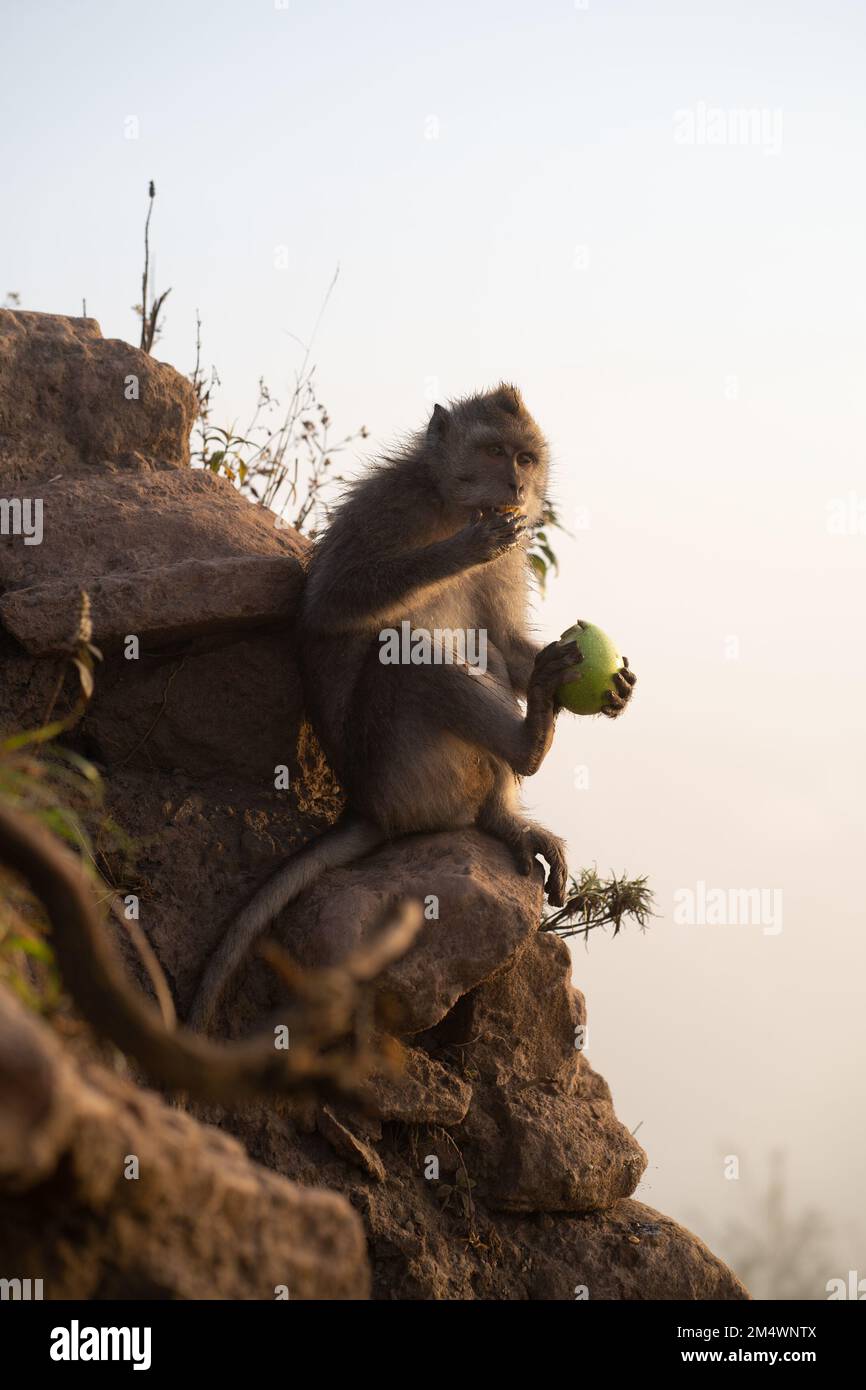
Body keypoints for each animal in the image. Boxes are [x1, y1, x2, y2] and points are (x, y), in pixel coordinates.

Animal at [189, 384, 636, 1032]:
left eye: (525, 459)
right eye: (494, 451)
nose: (516, 485)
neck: (450, 503)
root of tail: (366, 807)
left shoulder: (512, 553)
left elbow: (505, 645)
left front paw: (614, 688)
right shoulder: (389, 504)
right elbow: (334, 604)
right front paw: (460, 550)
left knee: (477, 657)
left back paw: (506, 808)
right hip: (406, 773)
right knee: (403, 653)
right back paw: (529, 743)